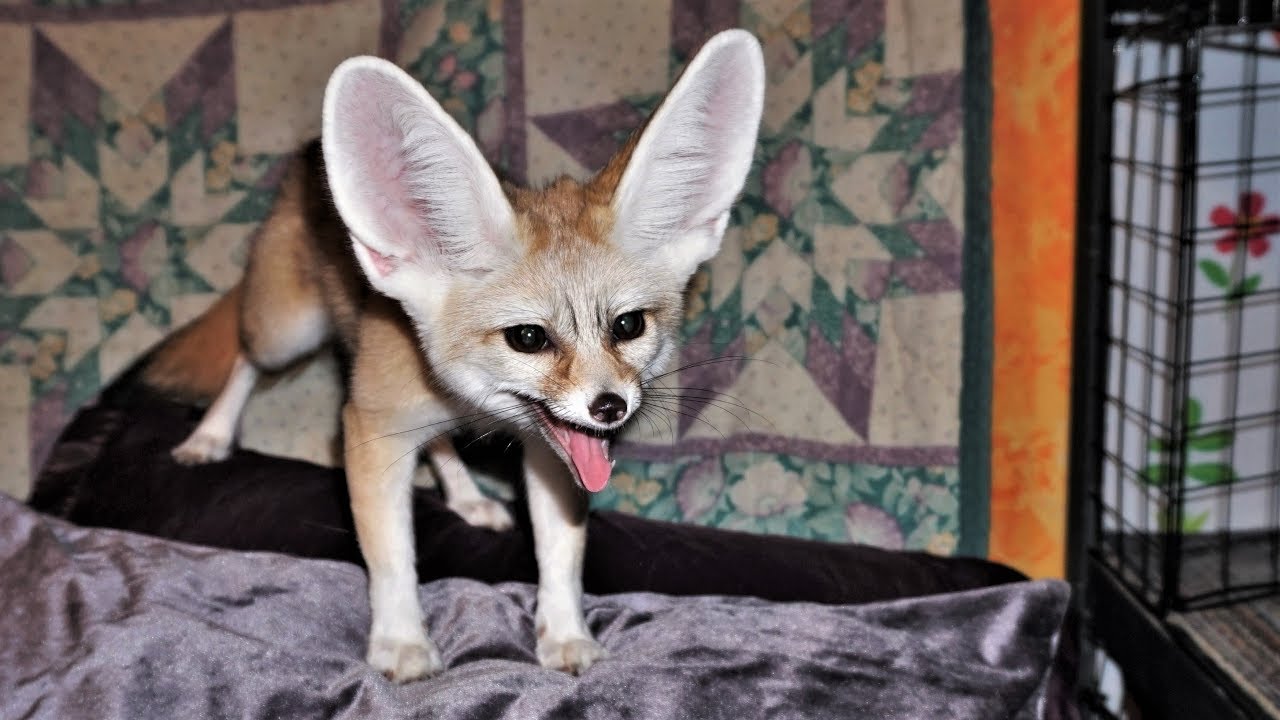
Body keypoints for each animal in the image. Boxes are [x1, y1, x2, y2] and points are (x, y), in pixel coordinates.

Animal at [141, 30, 765, 682]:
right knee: (244, 360)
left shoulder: (554, 452)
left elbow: (561, 555)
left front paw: (565, 632)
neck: (473, 401)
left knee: (437, 440)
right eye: (528, 338)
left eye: (628, 325)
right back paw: (209, 437)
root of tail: (313, 151)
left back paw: (467, 497)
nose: (610, 408)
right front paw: (401, 642)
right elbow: (392, 558)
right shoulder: (370, 429)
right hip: (286, 331)